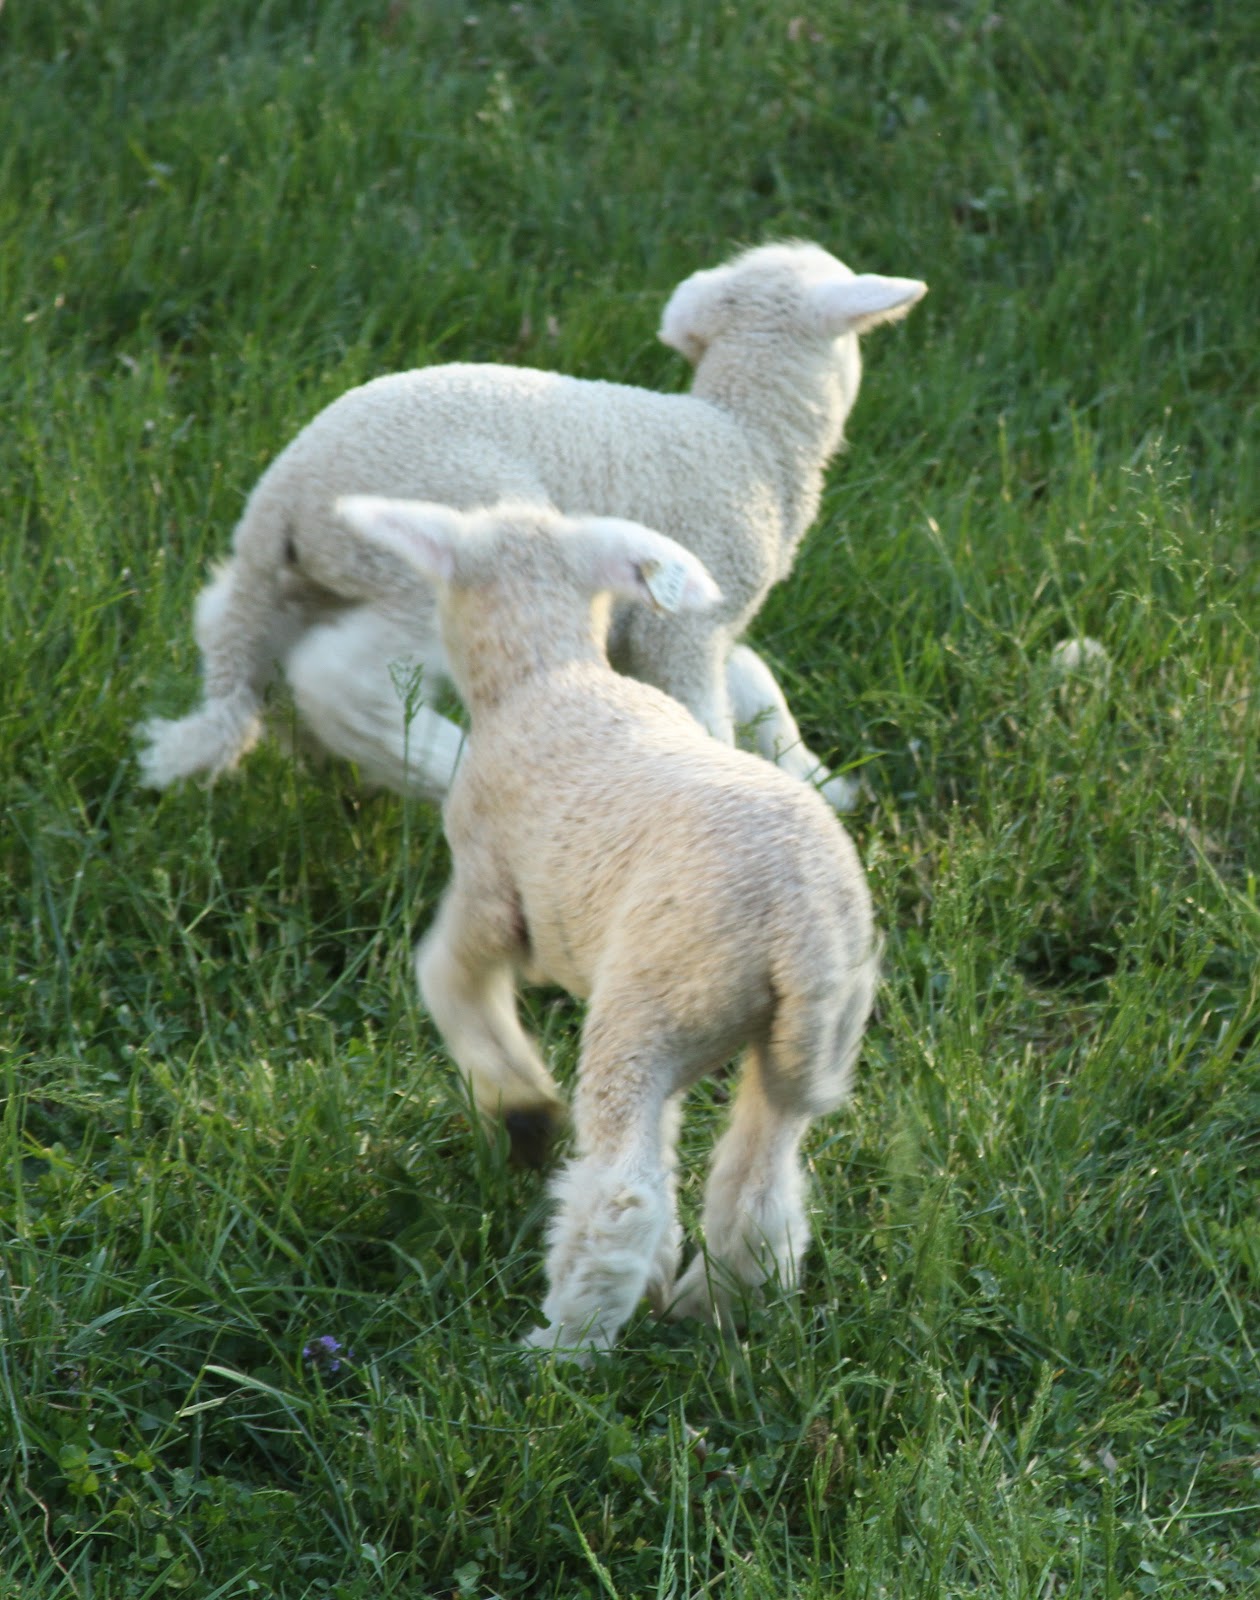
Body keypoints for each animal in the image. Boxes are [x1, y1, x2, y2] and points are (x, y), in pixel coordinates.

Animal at [138, 241, 926, 811]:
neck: (750, 436)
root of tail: (284, 501)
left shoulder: (695, 609)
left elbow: (758, 687)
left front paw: (825, 784)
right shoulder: (684, 626)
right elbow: (708, 710)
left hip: (312, 586)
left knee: (246, 653)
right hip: (435, 558)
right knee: (347, 683)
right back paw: (450, 768)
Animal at [334, 493, 879, 1356]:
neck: (545, 673)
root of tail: (803, 925)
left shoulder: (491, 888)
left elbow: (446, 976)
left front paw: (519, 1107)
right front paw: (657, 1271)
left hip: (650, 1008)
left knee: (626, 1193)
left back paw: (560, 1346)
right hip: (783, 1032)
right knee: (758, 1191)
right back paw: (709, 1312)